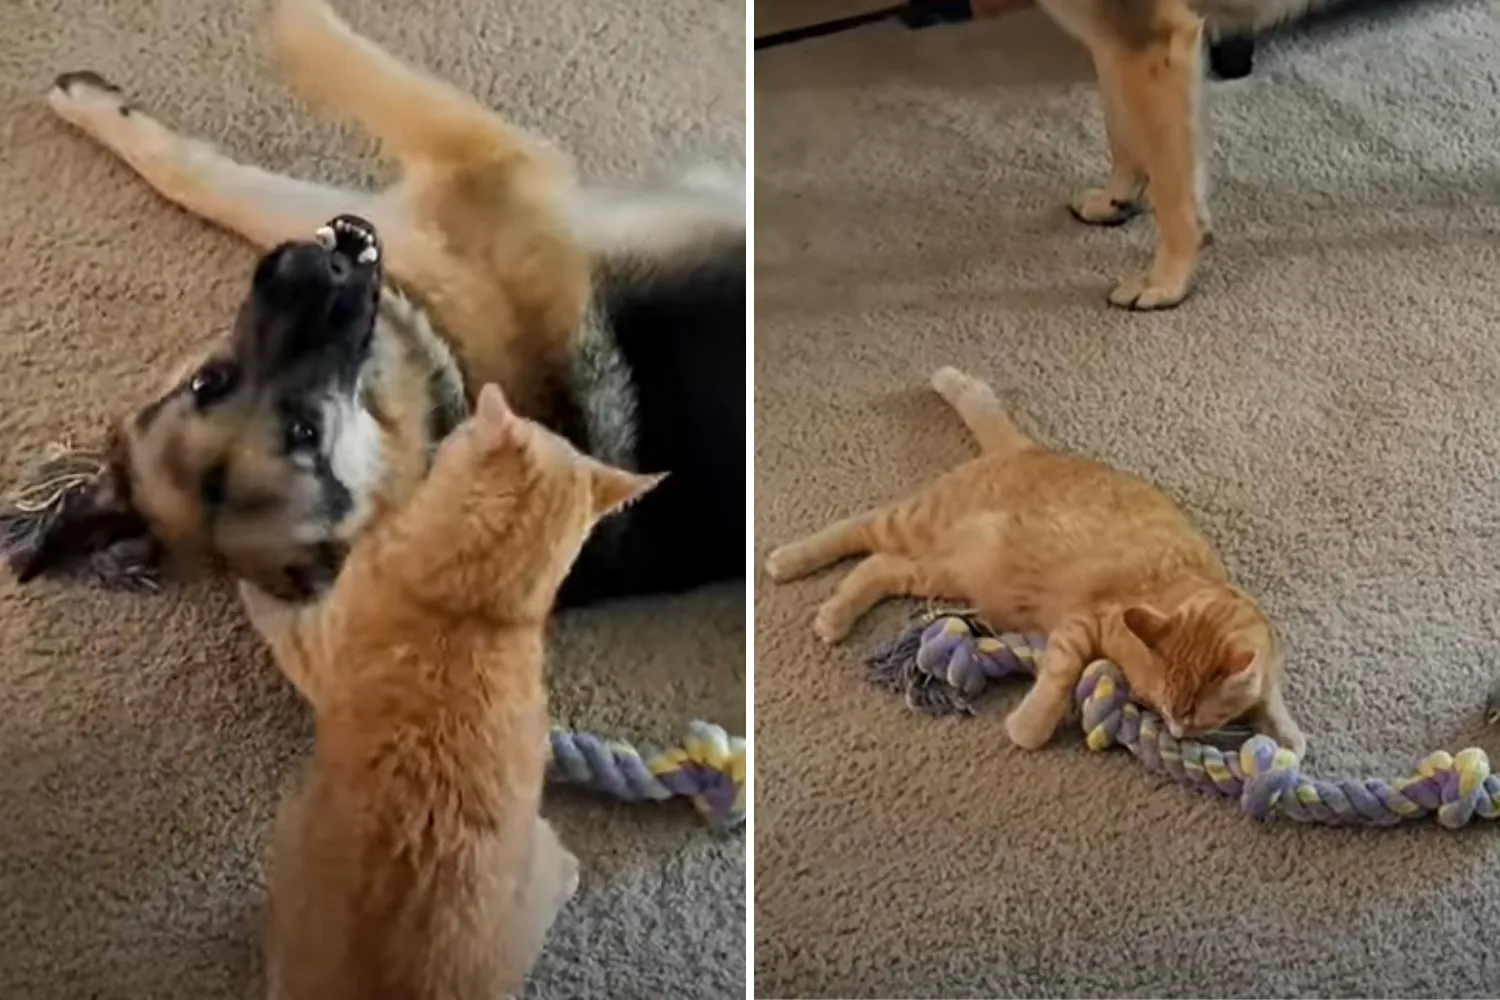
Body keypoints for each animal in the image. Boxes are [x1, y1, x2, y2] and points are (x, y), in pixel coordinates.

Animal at [16, 0, 745, 610]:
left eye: (209, 381)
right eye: (304, 435)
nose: (310, 271)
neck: (448, 402)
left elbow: (209, 177)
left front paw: (89, 105)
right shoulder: (474, 178)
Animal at [765, 366, 1304, 759]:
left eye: (1194, 715)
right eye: (1158, 704)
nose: (1172, 730)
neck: (1187, 584)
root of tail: (1028, 449)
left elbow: (1271, 700)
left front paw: (1286, 734)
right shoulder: (1085, 623)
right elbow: (1061, 673)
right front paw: (1030, 726)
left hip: (943, 571)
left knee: (876, 566)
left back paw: (834, 614)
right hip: (917, 523)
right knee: (858, 528)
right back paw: (790, 560)